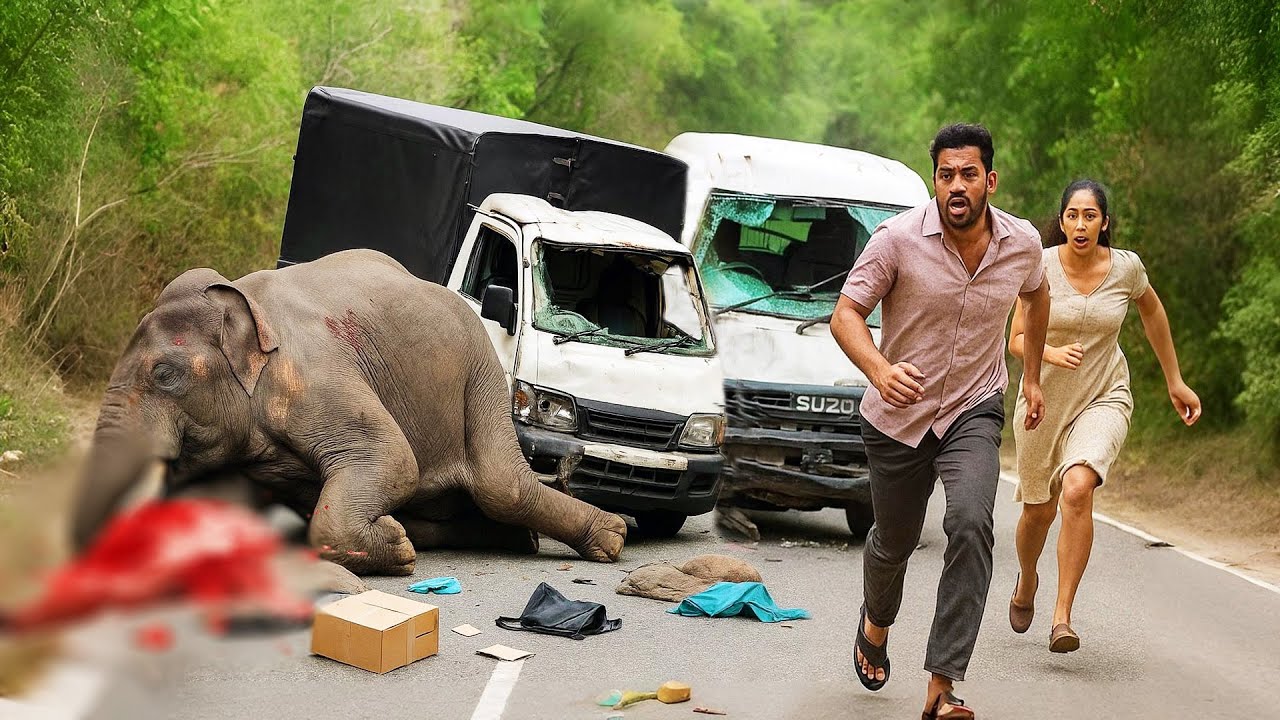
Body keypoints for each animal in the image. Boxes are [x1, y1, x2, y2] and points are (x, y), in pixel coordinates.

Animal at [71, 248, 627, 575]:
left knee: (501, 486)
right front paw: (397, 542)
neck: (238, 302)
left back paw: (612, 539)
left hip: (480, 372)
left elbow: (393, 460)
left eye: (166, 375)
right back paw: (511, 540)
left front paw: (397, 551)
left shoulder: (318, 380)